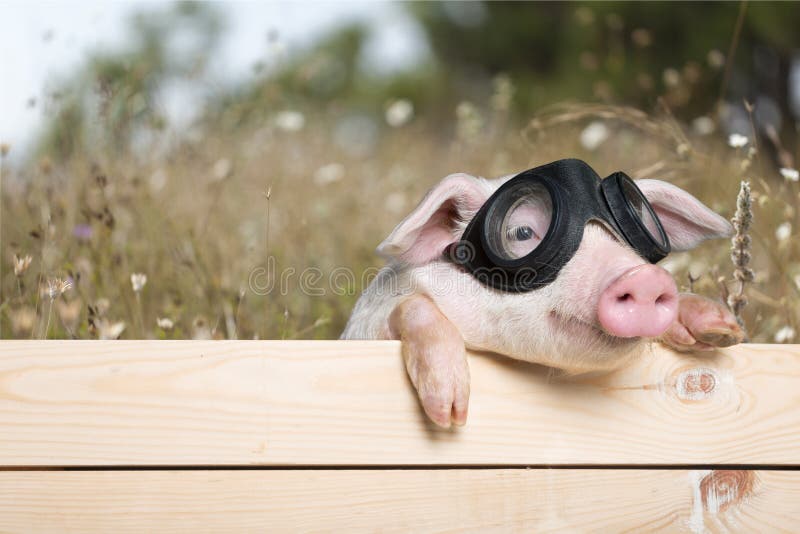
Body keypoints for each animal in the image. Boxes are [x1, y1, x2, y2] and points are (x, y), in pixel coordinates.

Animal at [341, 164, 744, 428]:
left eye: (628, 234)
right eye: (522, 232)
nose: (645, 278)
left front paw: (723, 328)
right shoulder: (368, 325)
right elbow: (413, 305)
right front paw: (450, 411)